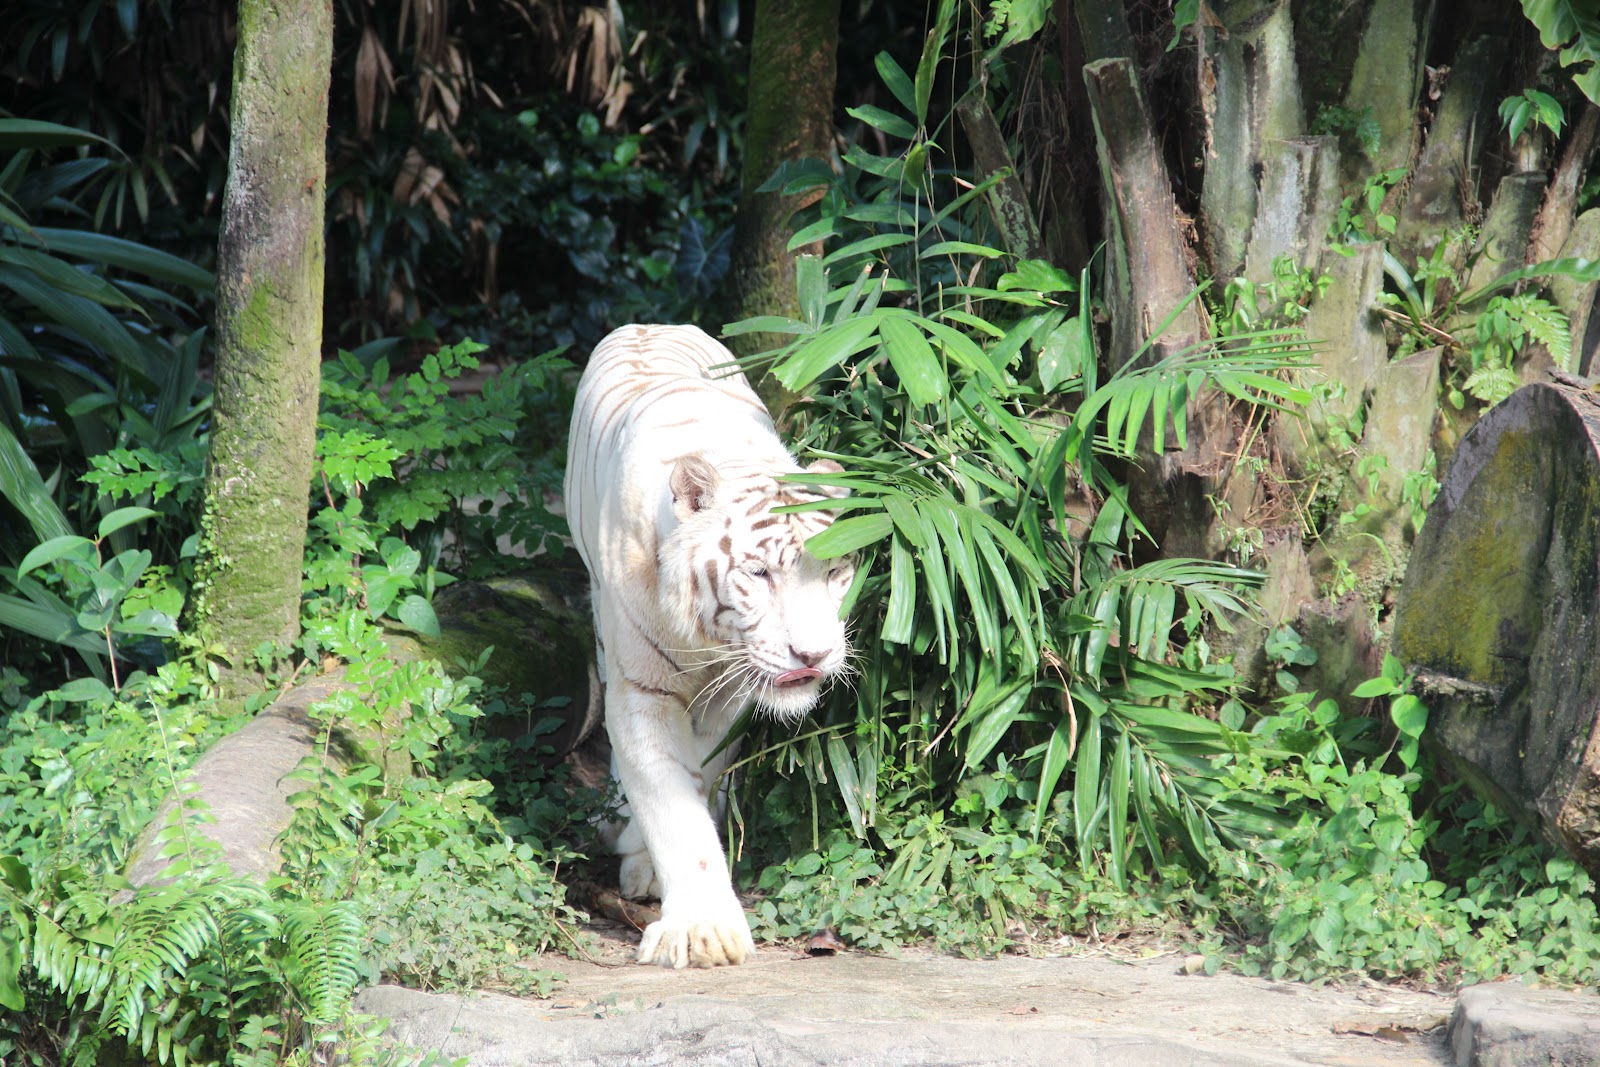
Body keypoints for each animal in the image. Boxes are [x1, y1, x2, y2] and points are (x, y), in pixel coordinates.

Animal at [563, 323, 856, 968]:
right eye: (759, 574)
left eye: (834, 573)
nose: (814, 657)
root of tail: (650, 324)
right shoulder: (641, 690)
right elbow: (669, 802)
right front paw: (702, 930)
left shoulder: (733, 697)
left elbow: (702, 773)